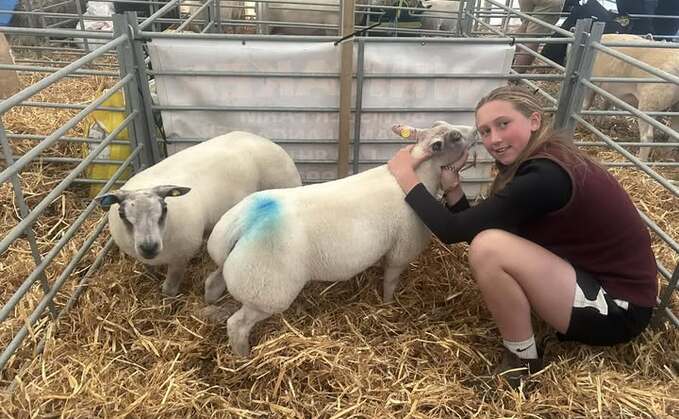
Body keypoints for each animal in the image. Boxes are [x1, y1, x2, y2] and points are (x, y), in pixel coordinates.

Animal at [95, 131, 302, 297]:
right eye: (122, 214)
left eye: (164, 209)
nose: (149, 246)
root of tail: (263, 139)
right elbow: (149, 271)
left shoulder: (180, 257)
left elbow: (169, 289)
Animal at [204, 121, 475, 356]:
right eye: (455, 137)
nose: (473, 130)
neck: (417, 177)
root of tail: (243, 222)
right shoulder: (401, 249)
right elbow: (390, 281)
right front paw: (388, 306)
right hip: (266, 292)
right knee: (237, 325)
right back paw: (243, 356)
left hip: (233, 267)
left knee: (212, 281)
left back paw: (209, 306)